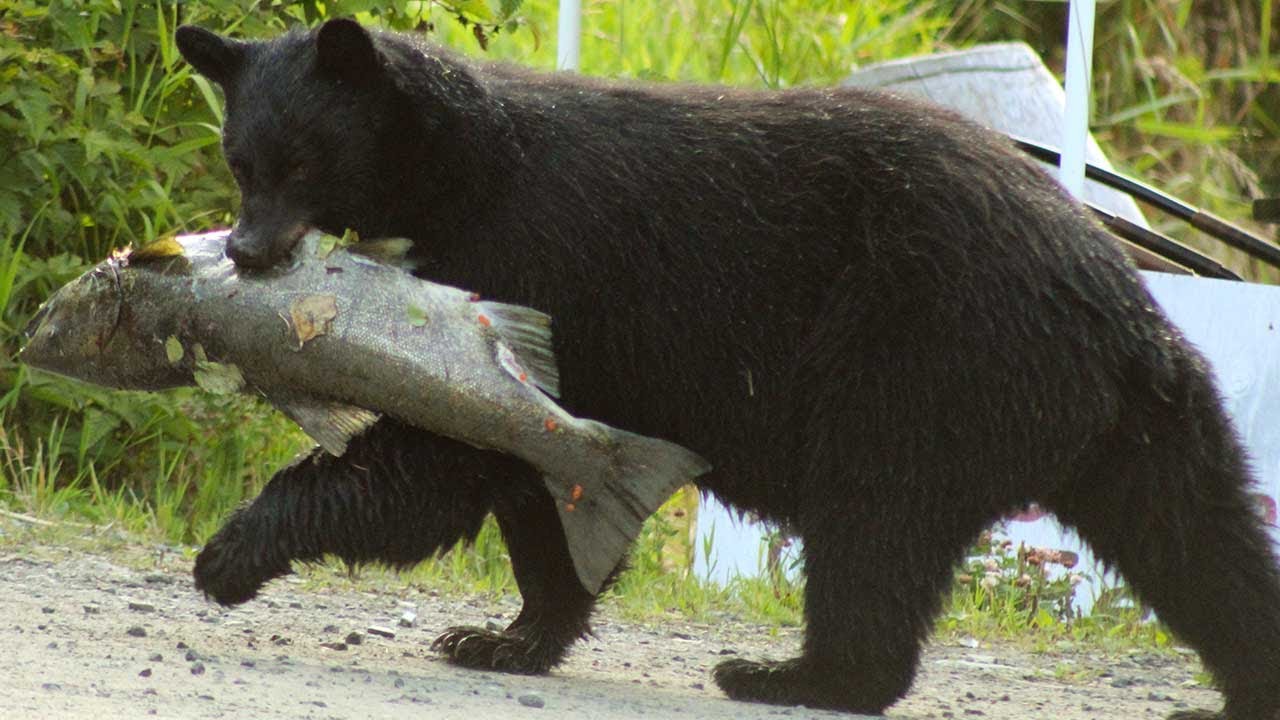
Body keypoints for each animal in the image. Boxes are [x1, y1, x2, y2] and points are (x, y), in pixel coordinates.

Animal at [174, 18, 1280, 718]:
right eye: (239, 160)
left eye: (302, 161)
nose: (250, 254)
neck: (452, 171)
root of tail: (1113, 300)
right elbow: (536, 480)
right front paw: (507, 636)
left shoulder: (536, 257)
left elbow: (443, 455)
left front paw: (229, 553)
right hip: (1138, 422)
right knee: (1201, 539)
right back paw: (1237, 690)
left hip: (920, 360)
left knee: (873, 519)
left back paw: (789, 675)